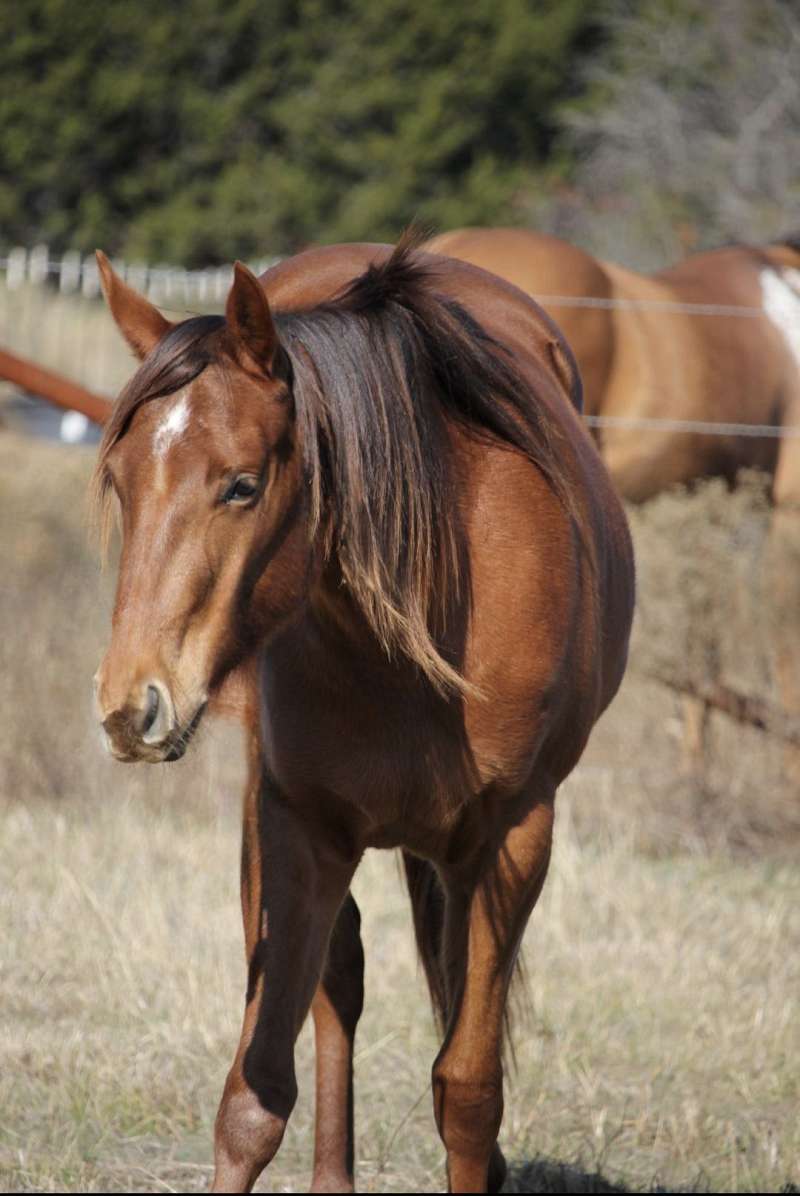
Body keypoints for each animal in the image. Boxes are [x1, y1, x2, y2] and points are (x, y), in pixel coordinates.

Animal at [91, 235, 635, 1194]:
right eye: (120, 482)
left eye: (241, 486)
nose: (132, 706)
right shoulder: (296, 826)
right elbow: (254, 1098)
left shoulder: (514, 838)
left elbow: (468, 1091)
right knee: (338, 984)